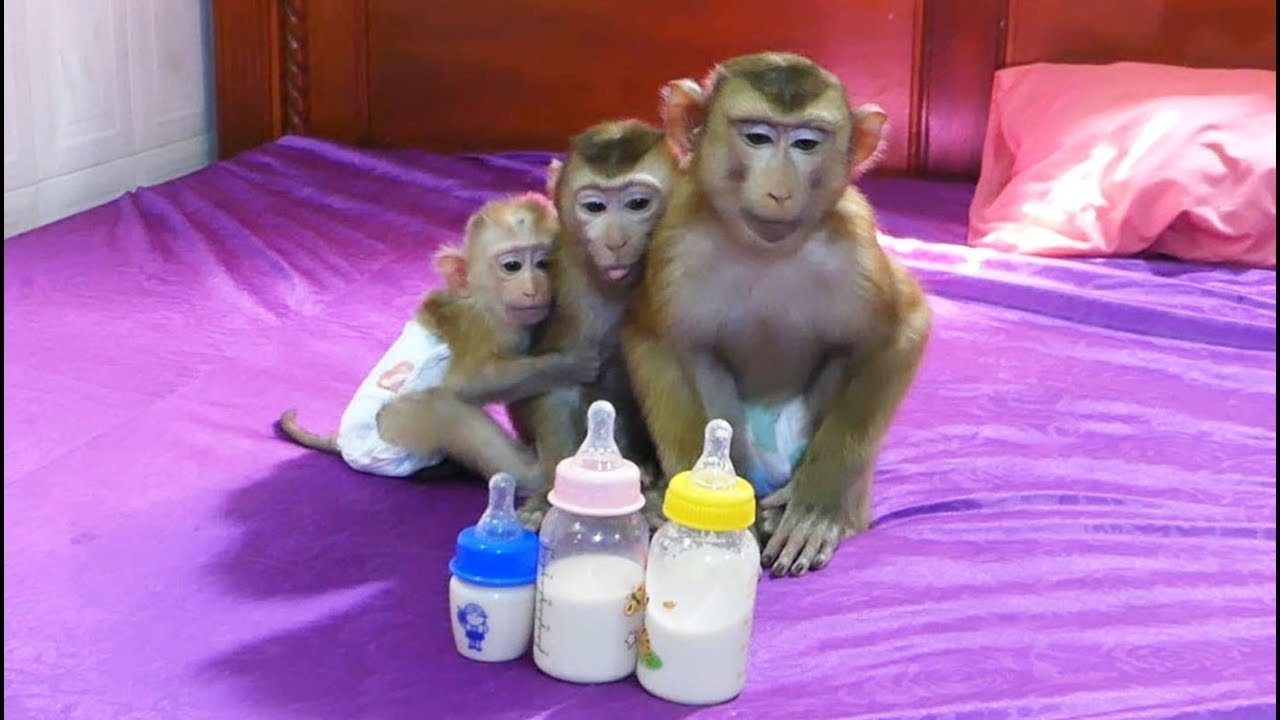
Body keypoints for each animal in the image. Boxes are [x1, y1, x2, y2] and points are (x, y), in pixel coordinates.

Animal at [278, 192, 598, 494]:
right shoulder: (483, 328)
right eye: (512, 266)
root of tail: (343, 444)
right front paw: (570, 363)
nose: (533, 289)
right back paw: (535, 475)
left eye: (544, 264)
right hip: (388, 440)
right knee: (436, 406)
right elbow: (469, 383)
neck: (483, 303)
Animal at [508, 119, 679, 530]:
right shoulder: (564, 280)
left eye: (637, 204)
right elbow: (557, 380)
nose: (616, 242)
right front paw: (549, 498)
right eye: (595, 207)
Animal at [620, 52, 931, 578]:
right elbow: (653, 342)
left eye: (806, 143)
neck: (765, 250)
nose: (781, 191)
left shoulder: (857, 246)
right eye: (758, 137)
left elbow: (902, 330)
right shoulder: (674, 244)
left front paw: (815, 506)